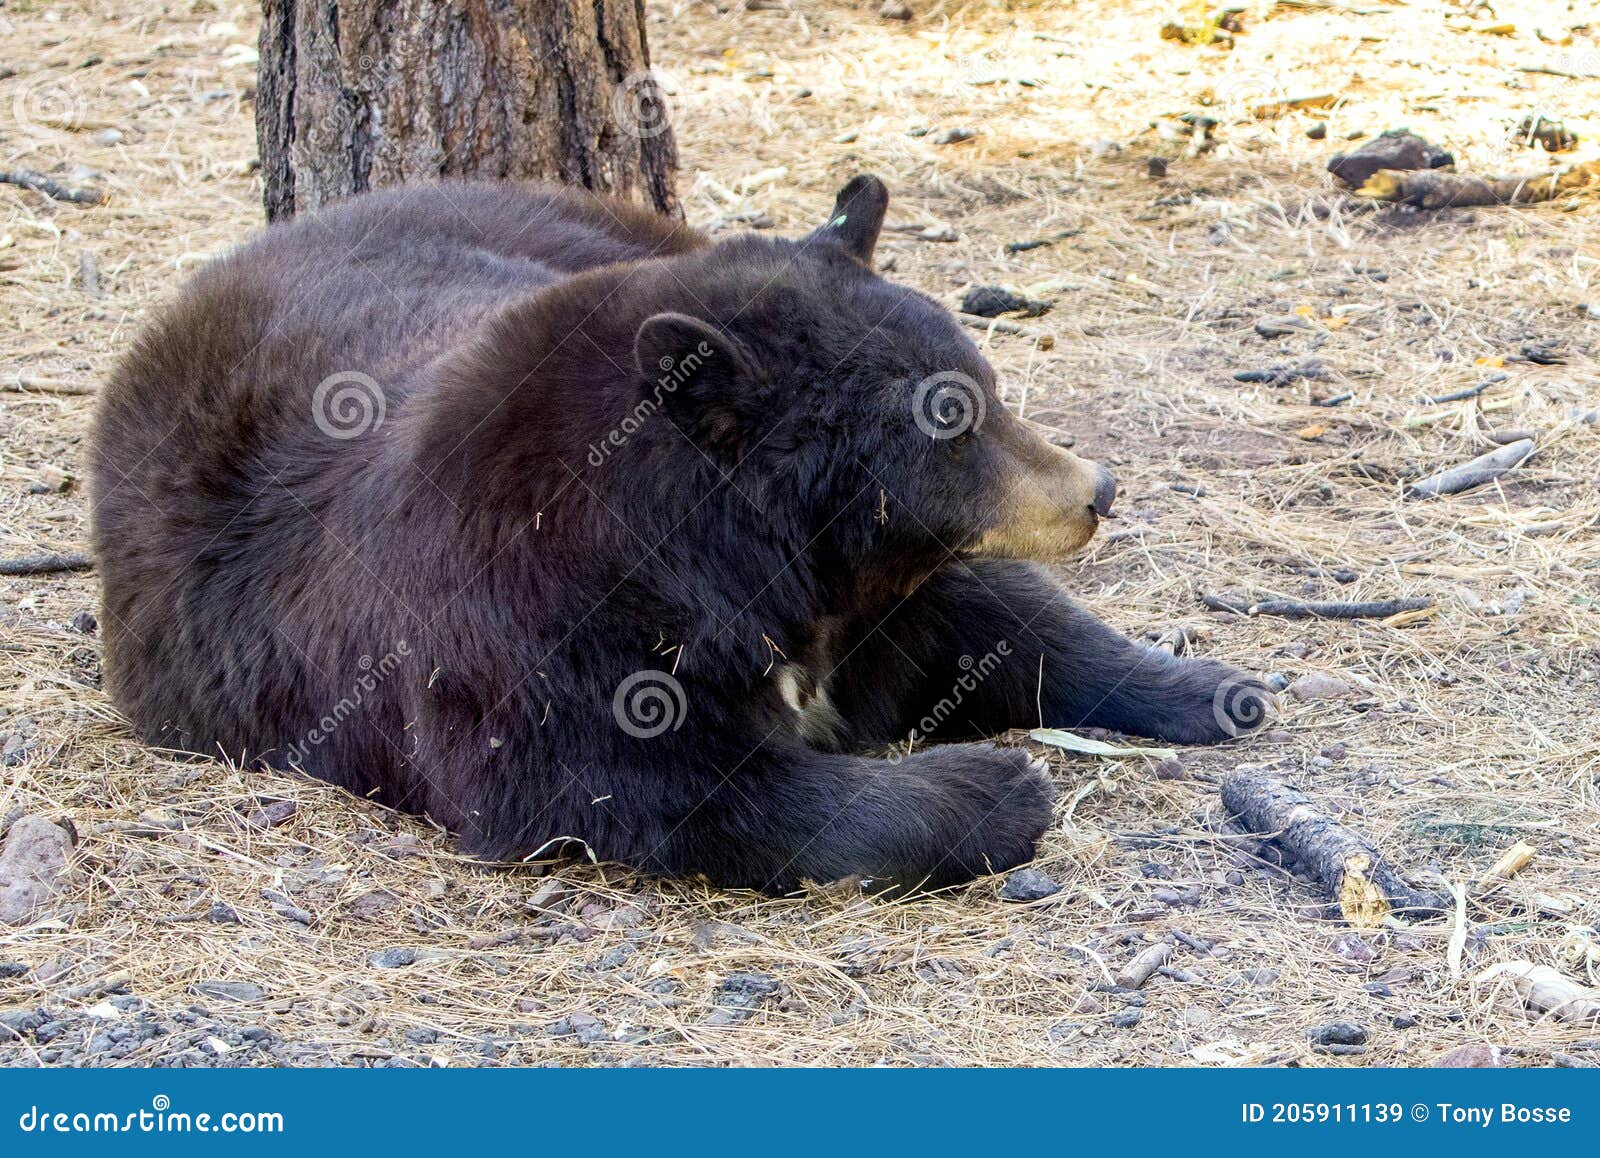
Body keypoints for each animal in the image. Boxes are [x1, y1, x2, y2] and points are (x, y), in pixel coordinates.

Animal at [89, 175, 1271, 894]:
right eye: (951, 417)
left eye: (979, 384)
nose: (1095, 489)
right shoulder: (531, 627)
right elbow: (659, 789)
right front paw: (993, 787)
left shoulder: (869, 587)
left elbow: (995, 619)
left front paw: (1210, 684)